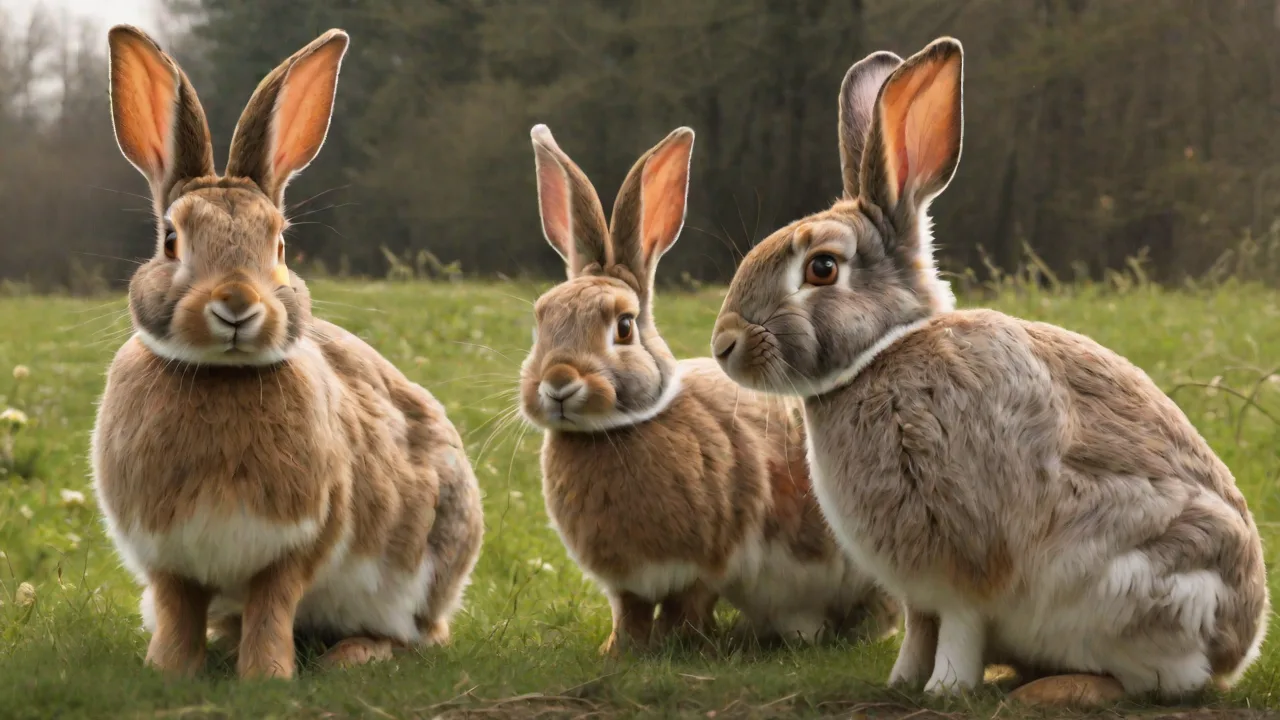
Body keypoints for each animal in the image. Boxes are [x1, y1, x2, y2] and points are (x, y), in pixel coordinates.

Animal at [91, 25, 484, 679]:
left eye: (279, 243)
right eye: (171, 240)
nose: (236, 304)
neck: (222, 375)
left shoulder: (297, 546)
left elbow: (272, 608)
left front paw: (266, 677)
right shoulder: (168, 559)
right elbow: (177, 612)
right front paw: (169, 672)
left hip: (423, 568)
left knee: (419, 636)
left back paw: (354, 655)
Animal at [518, 124, 898, 654]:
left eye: (624, 327)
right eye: (541, 322)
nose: (557, 384)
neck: (613, 430)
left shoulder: (707, 565)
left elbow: (688, 607)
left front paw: (680, 646)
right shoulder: (627, 585)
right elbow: (630, 612)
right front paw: (618, 652)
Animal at [710, 36, 1269, 700]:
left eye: (822, 268)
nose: (724, 344)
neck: (885, 353)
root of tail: (1238, 647)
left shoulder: (962, 565)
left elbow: (957, 630)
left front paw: (944, 691)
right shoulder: (917, 591)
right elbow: (918, 630)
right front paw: (901, 682)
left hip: (1142, 591)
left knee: (1155, 681)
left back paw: (1059, 690)